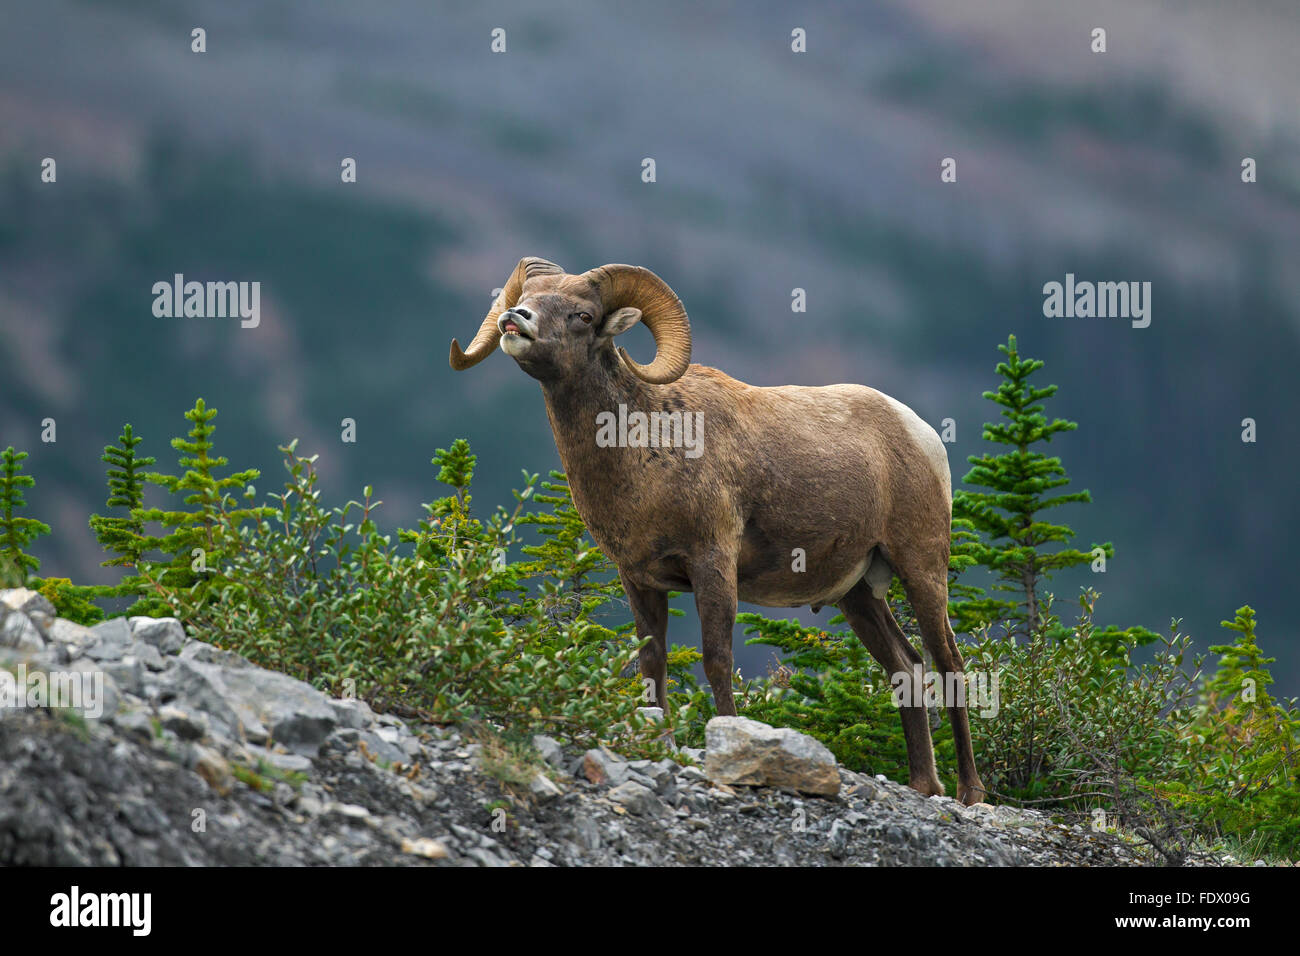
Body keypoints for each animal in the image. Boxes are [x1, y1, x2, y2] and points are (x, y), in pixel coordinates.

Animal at [450, 257, 986, 804]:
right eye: (528, 297)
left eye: (582, 314)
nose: (516, 320)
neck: (644, 443)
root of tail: (921, 433)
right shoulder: (639, 581)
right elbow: (653, 664)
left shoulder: (712, 566)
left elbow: (716, 661)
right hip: (858, 595)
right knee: (906, 667)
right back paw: (923, 785)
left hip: (920, 568)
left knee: (950, 664)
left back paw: (970, 792)